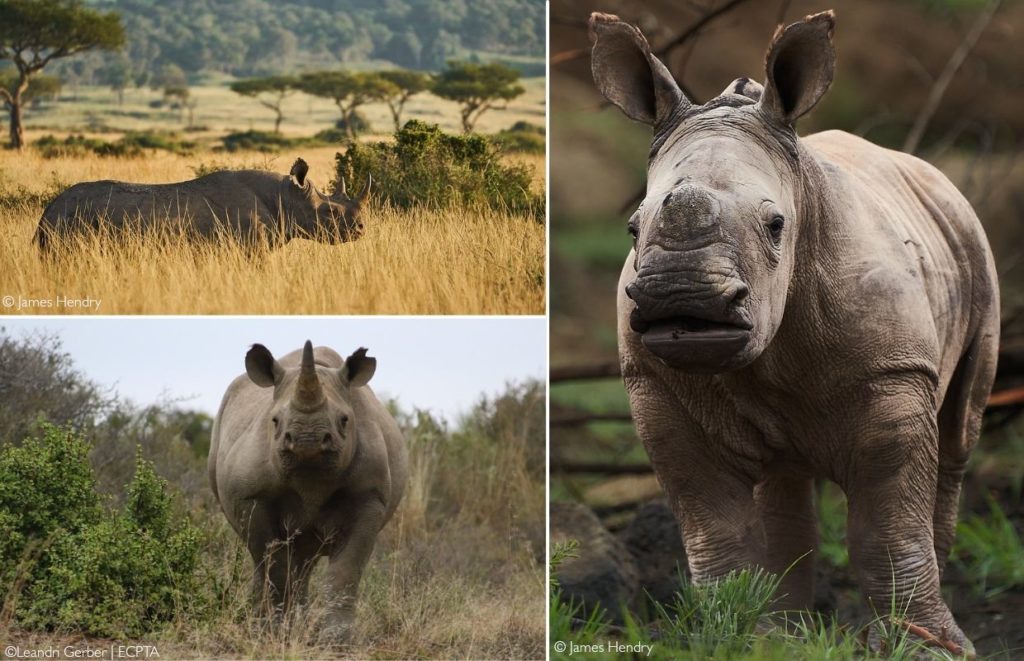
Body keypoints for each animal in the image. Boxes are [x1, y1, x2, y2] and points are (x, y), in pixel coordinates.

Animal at [209, 340, 407, 640]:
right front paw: (276, 631)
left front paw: (337, 639)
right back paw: (259, 621)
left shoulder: (369, 498)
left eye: (345, 420)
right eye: (275, 420)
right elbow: (274, 562)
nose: (307, 441)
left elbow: (347, 569)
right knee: (266, 558)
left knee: (304, 558)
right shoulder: (252, 497)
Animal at [591, 10, 998, 654]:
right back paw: (788, 634)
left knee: (958, 436)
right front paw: (739, 640)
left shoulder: (894, 372)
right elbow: (715, 531)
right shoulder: (654, 382)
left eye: (776, 224)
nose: (682, 297)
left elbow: (888, 525)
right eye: (633, 228)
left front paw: (928, 651)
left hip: (972, 245)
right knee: (783, 478)